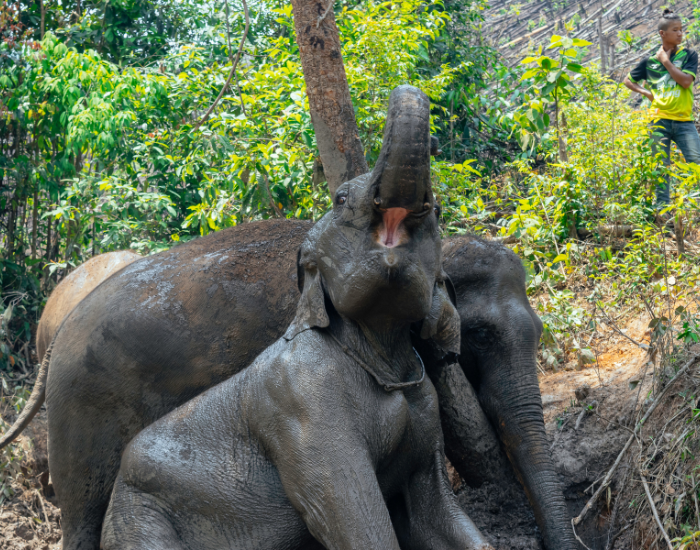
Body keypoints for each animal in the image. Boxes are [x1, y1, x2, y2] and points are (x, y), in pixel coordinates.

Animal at [100, 87, 493, 550]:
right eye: (340, 199)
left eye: (439, 211)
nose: (433, 142)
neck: (378, 350)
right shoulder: (302, 405)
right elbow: (351, 516)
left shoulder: (423, 407)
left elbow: (435, 517)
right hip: (137, 516)